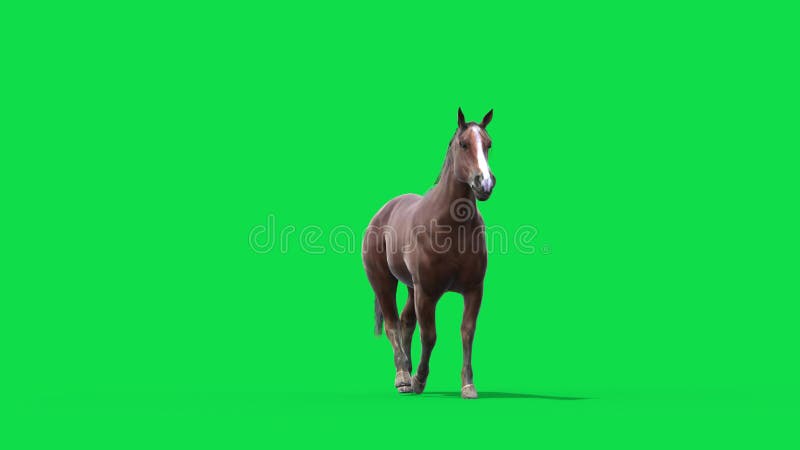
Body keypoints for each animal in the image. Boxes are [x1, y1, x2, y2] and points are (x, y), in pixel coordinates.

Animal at [362, 107, 496, 399]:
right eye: (463, 144)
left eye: (489, 144)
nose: (485, 183)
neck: (451, 227)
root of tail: (382, 213)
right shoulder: (428, 292)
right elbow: (430, 335)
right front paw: (419, 380)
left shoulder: (473, 289)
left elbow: (467, 332)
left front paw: (468, 385)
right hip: (384, 281)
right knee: (392, 324)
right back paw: (403, 376)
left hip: (411, 286)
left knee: (405, 321)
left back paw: (407, 368)